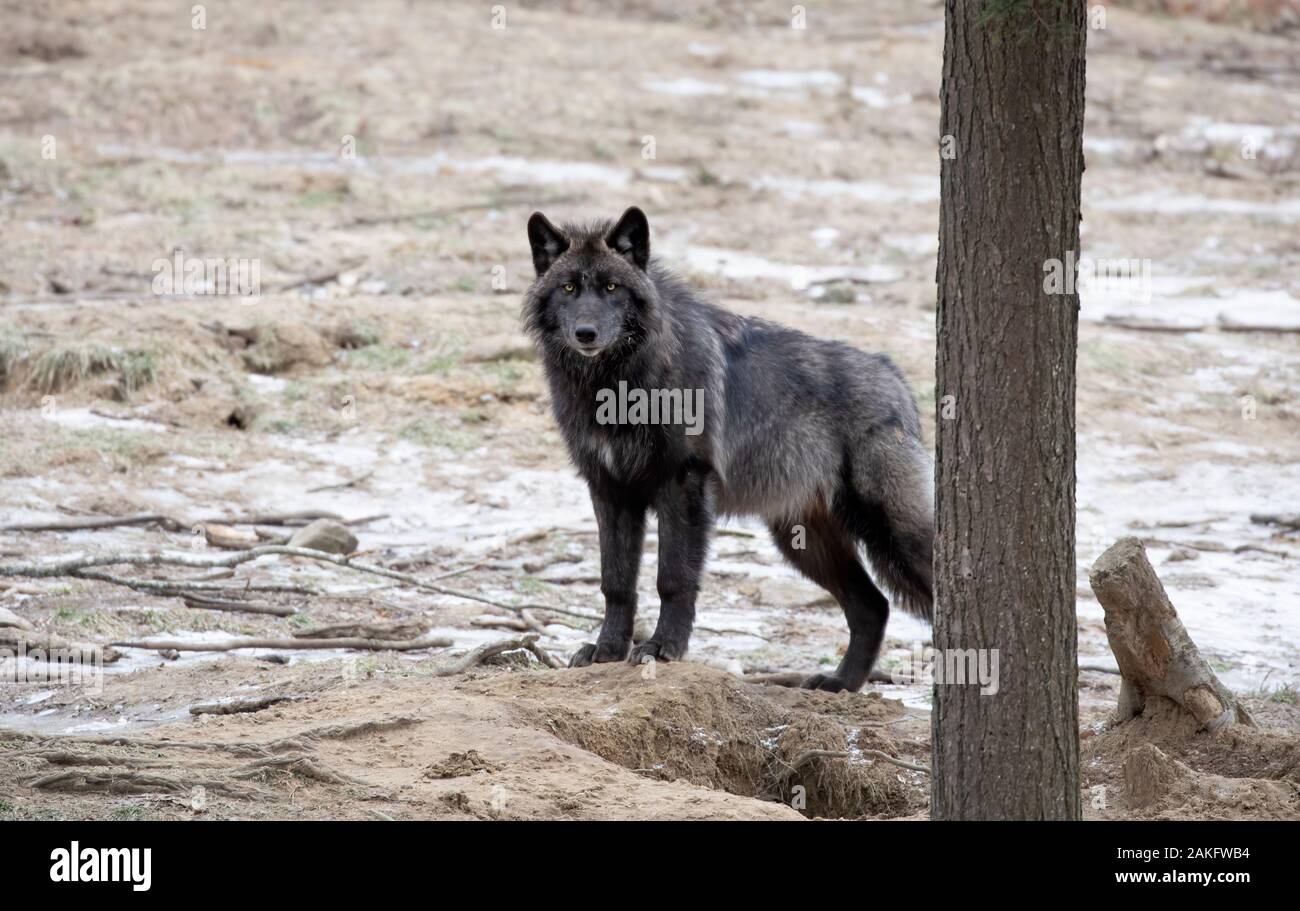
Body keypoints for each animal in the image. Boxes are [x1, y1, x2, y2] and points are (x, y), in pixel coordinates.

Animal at [522, 207, 933, 691]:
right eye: (569, 288)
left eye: (611, 288)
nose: (585, 333)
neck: (615, 385)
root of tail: (895, 376)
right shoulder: (609, 491)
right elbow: (616, 582)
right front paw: (607, 651)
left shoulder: (681, 485)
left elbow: (673, 579)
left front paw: (663, 648)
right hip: (803, 544)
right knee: (873, 606)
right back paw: (839, 685)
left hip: (890, 531)